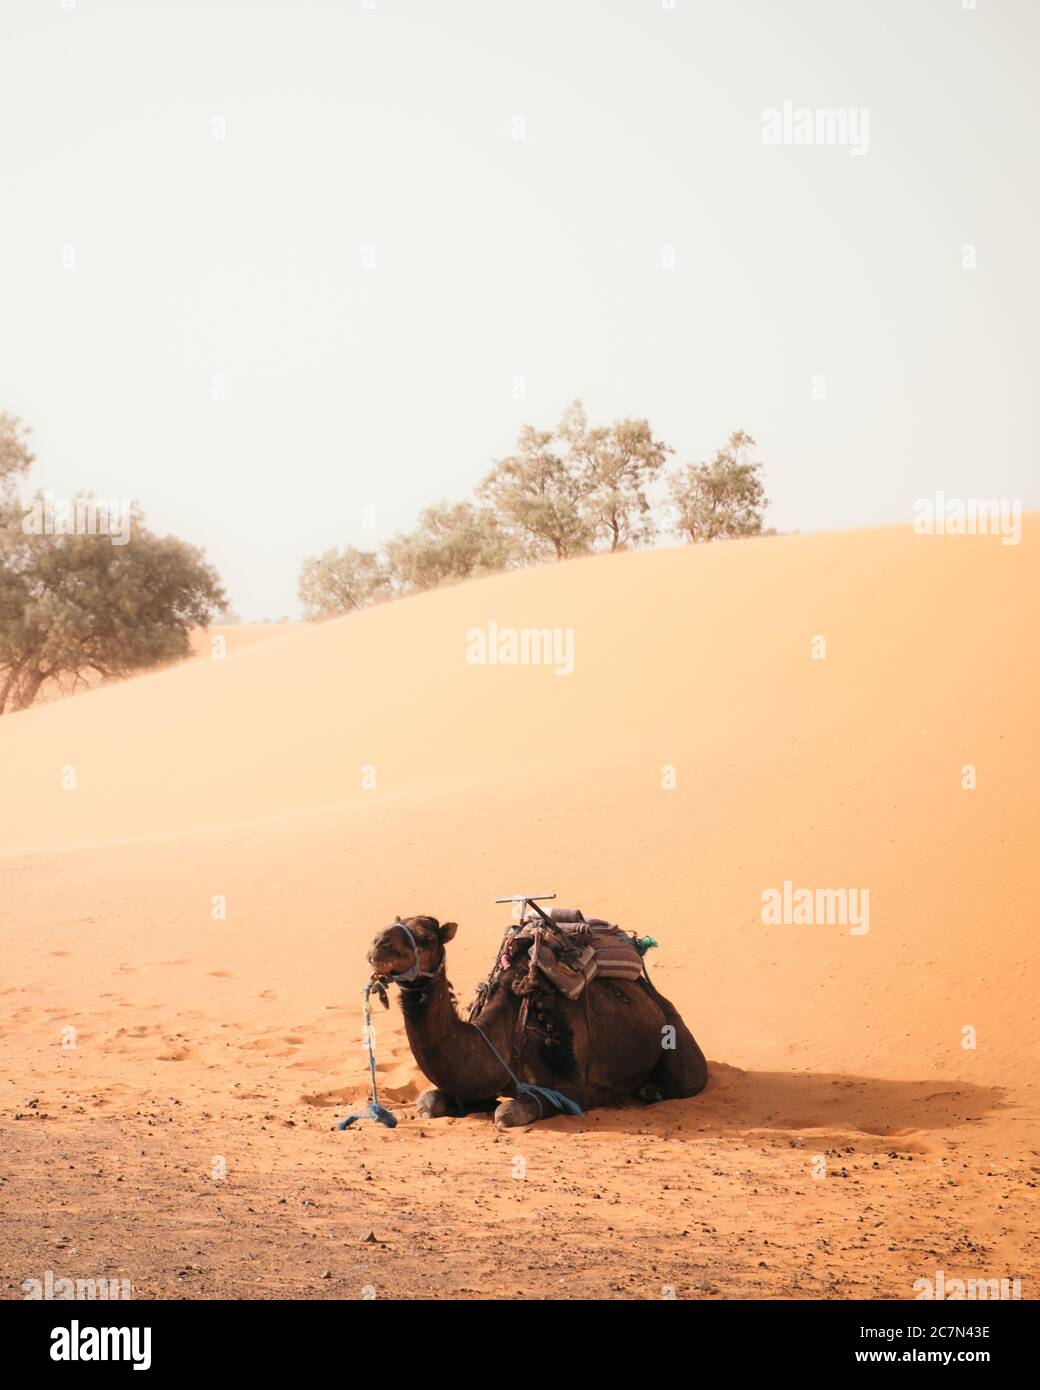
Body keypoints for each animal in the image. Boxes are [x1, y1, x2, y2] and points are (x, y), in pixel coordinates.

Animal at [366, 914, 708, 1127]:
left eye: (424, 938)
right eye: (392, 924)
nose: (377, 945)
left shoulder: (572, 1090)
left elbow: (506, 1113)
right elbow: (427, 1102)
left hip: (677, 1038)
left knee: (686, 1079)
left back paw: (651, 1090)